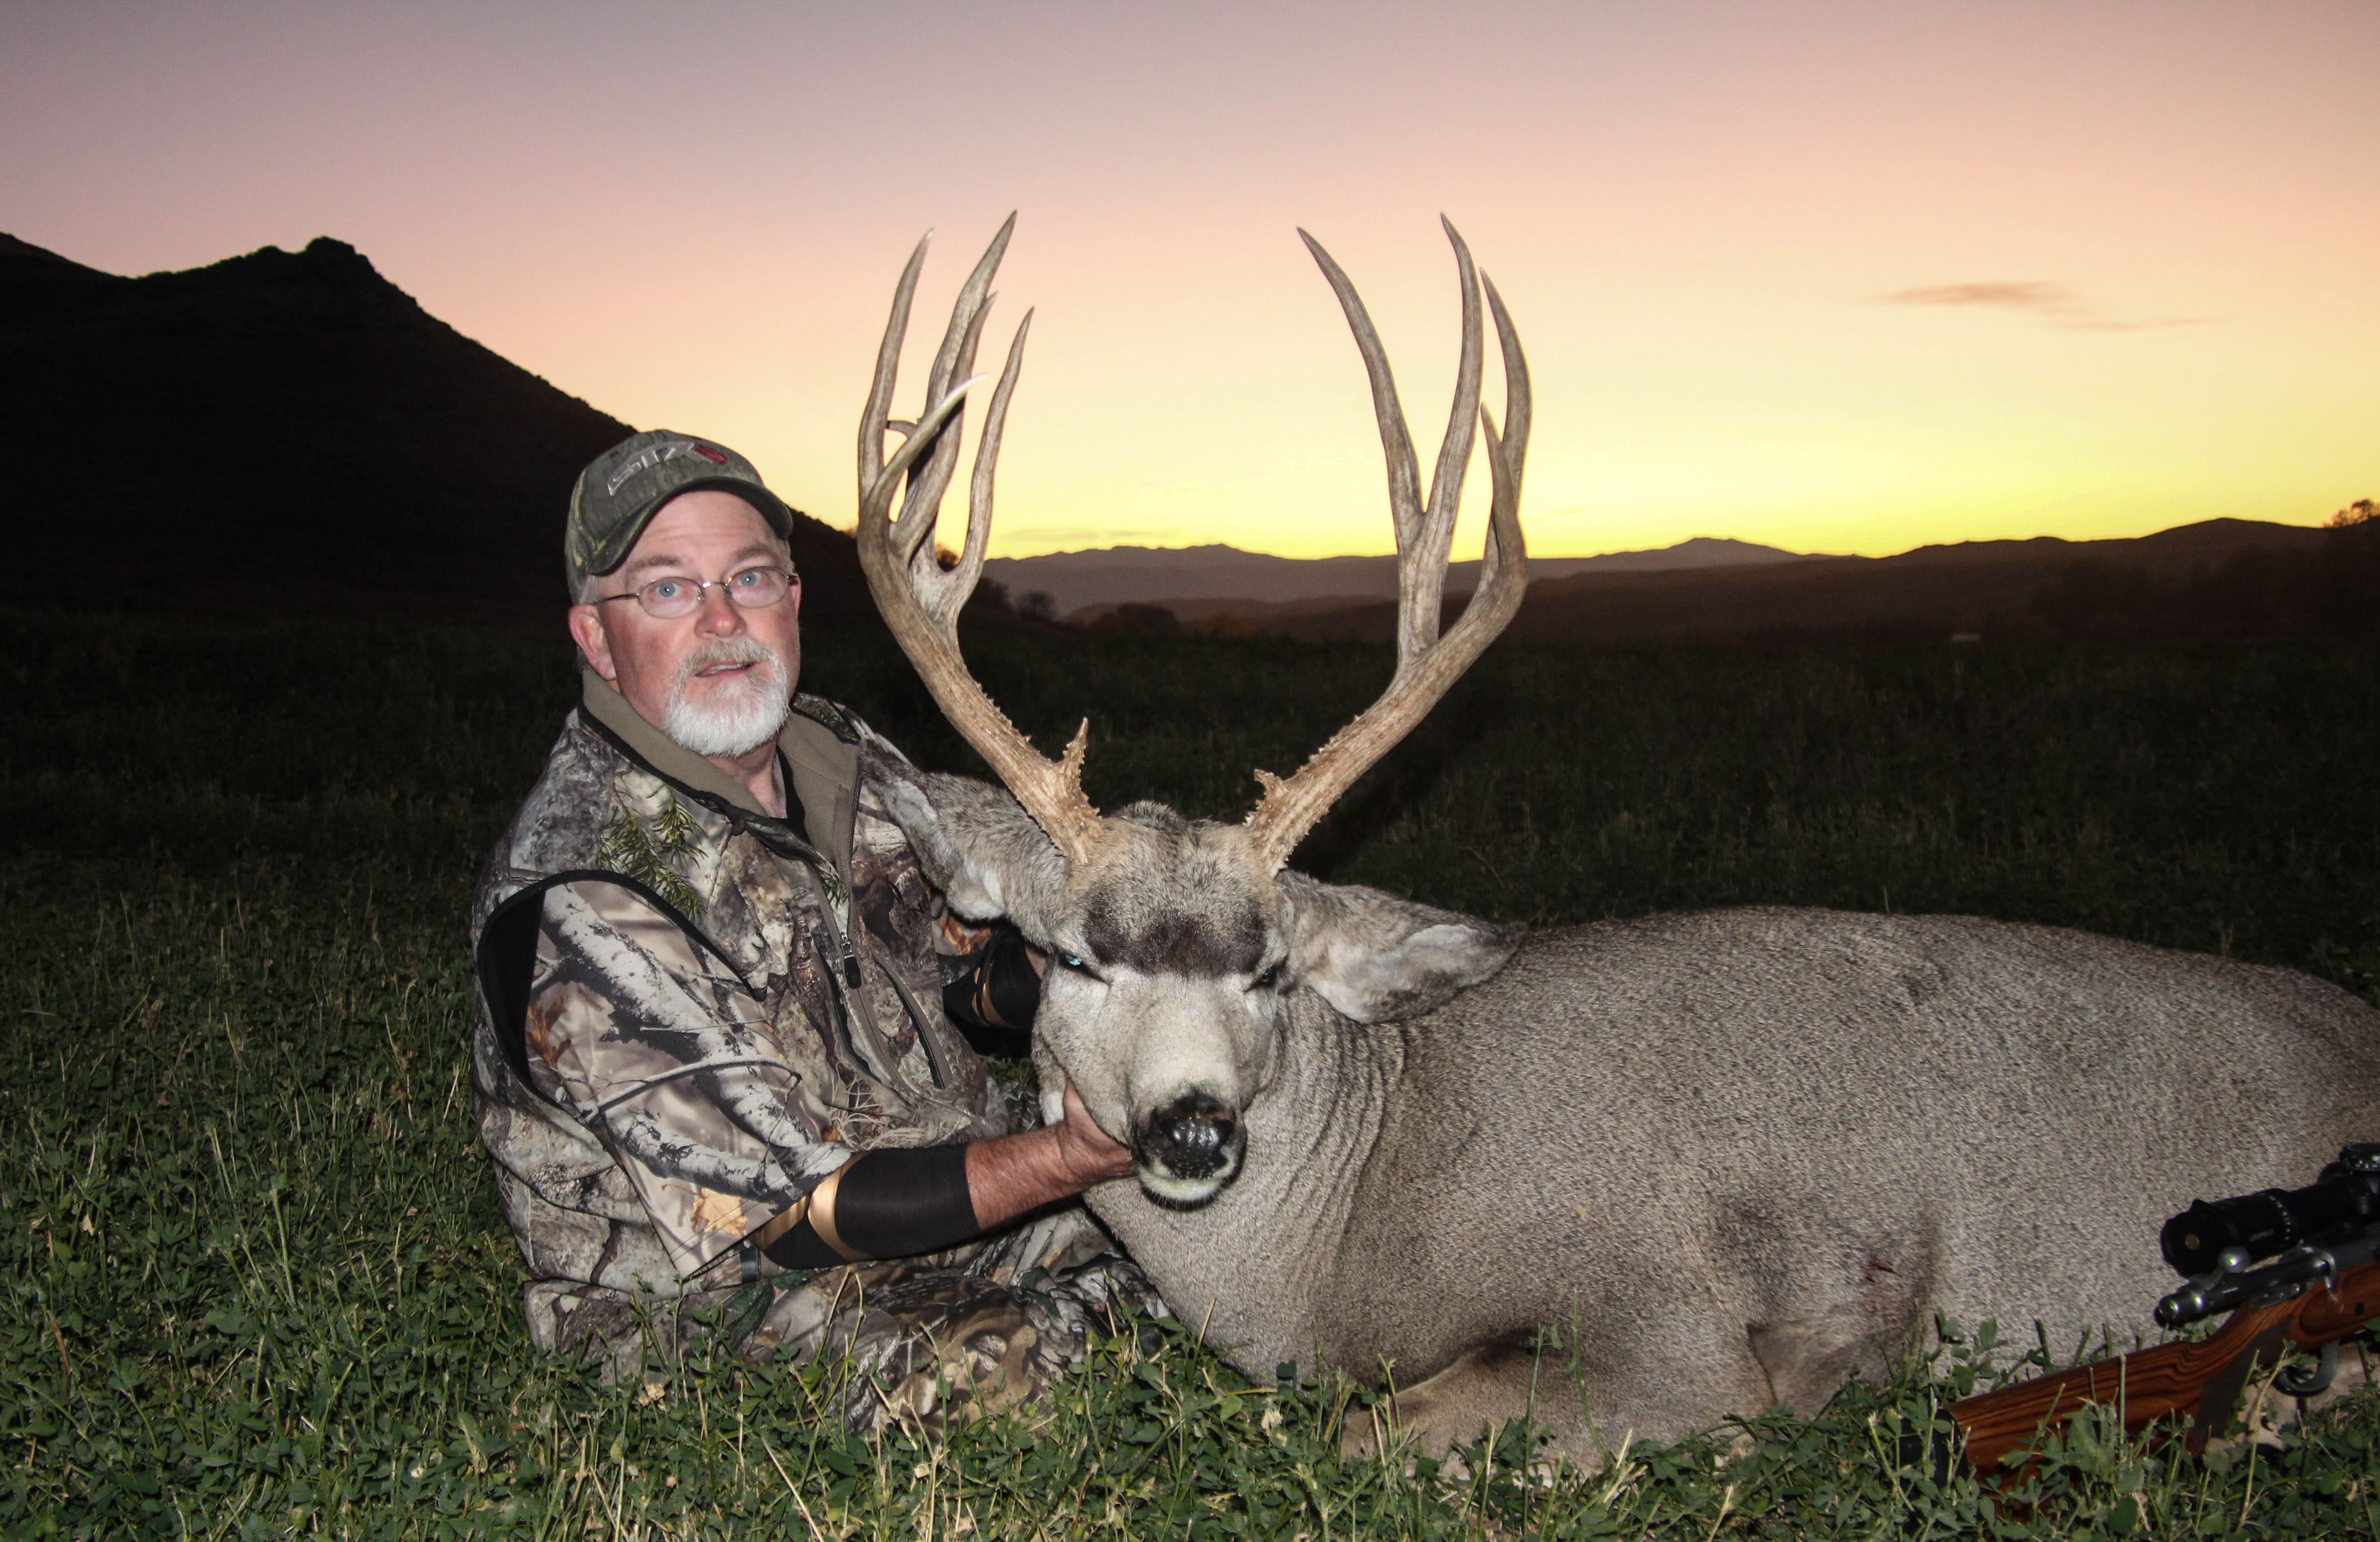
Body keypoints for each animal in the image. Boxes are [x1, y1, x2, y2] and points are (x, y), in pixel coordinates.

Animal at [843, 215, 2380, 1465]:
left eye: (1270, 969)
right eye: (1072, 958)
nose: (1194, 1122)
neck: (1359, 1222)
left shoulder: (1664, 1328)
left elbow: (1364, 1436)